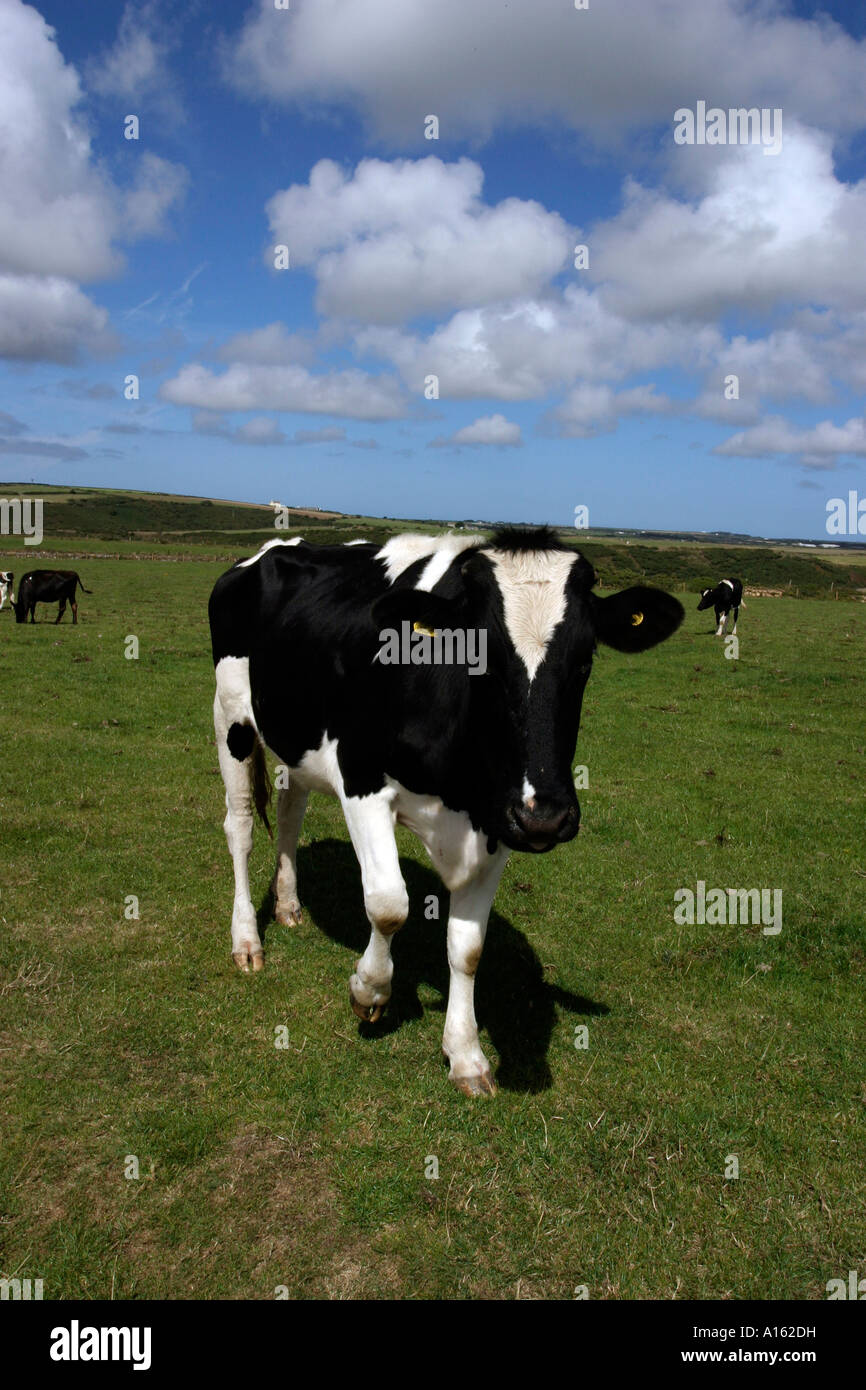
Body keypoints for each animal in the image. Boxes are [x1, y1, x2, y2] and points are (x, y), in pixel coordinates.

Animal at [209, 528, 684, 1096]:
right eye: (479, 657)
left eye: (586, 659)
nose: (546, 815)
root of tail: (278, 544)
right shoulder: (360, 779)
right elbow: (389, 904)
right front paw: (369, 991)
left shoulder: (498, 817)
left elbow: (468, 946)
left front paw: (465, 1053)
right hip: (231, 718)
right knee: (239, 828)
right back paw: (246, 940)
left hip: (296, 739)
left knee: (289, 811)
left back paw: (287, 904)